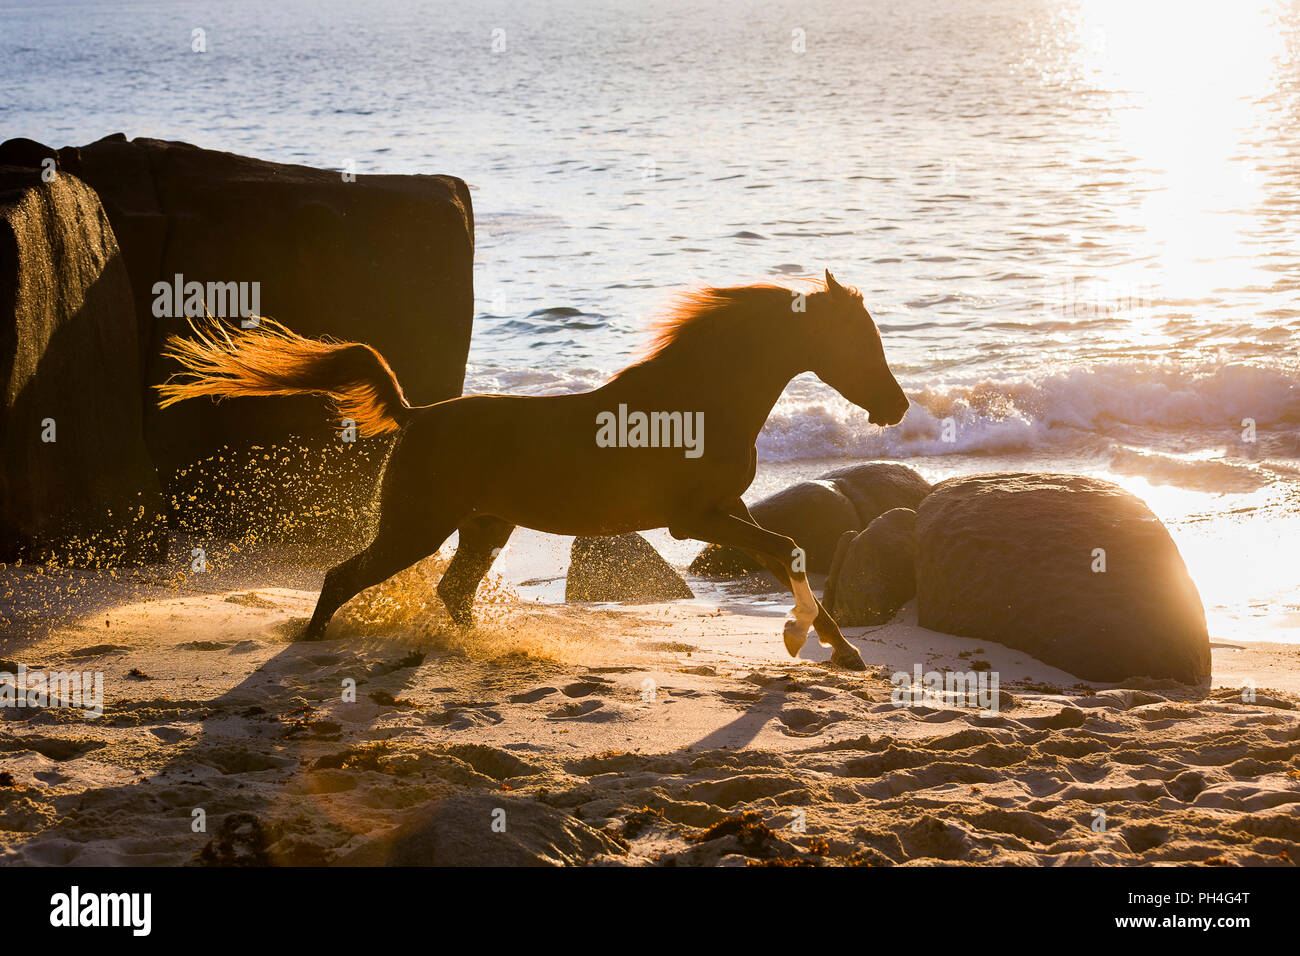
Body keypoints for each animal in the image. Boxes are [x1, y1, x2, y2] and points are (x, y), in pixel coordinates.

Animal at [157, 270, 909, 669]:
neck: (700, 401)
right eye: (859, 340)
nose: (897, 406)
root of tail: (415, 415)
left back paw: (480, 650)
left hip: (484, 526)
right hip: (418, 526)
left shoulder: (729, 510)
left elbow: (789, 553)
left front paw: (842, 650)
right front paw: (799, 638)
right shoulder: (692, 519)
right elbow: (787, 547)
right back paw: (313, 645)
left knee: (452, 592)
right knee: (346, 577)